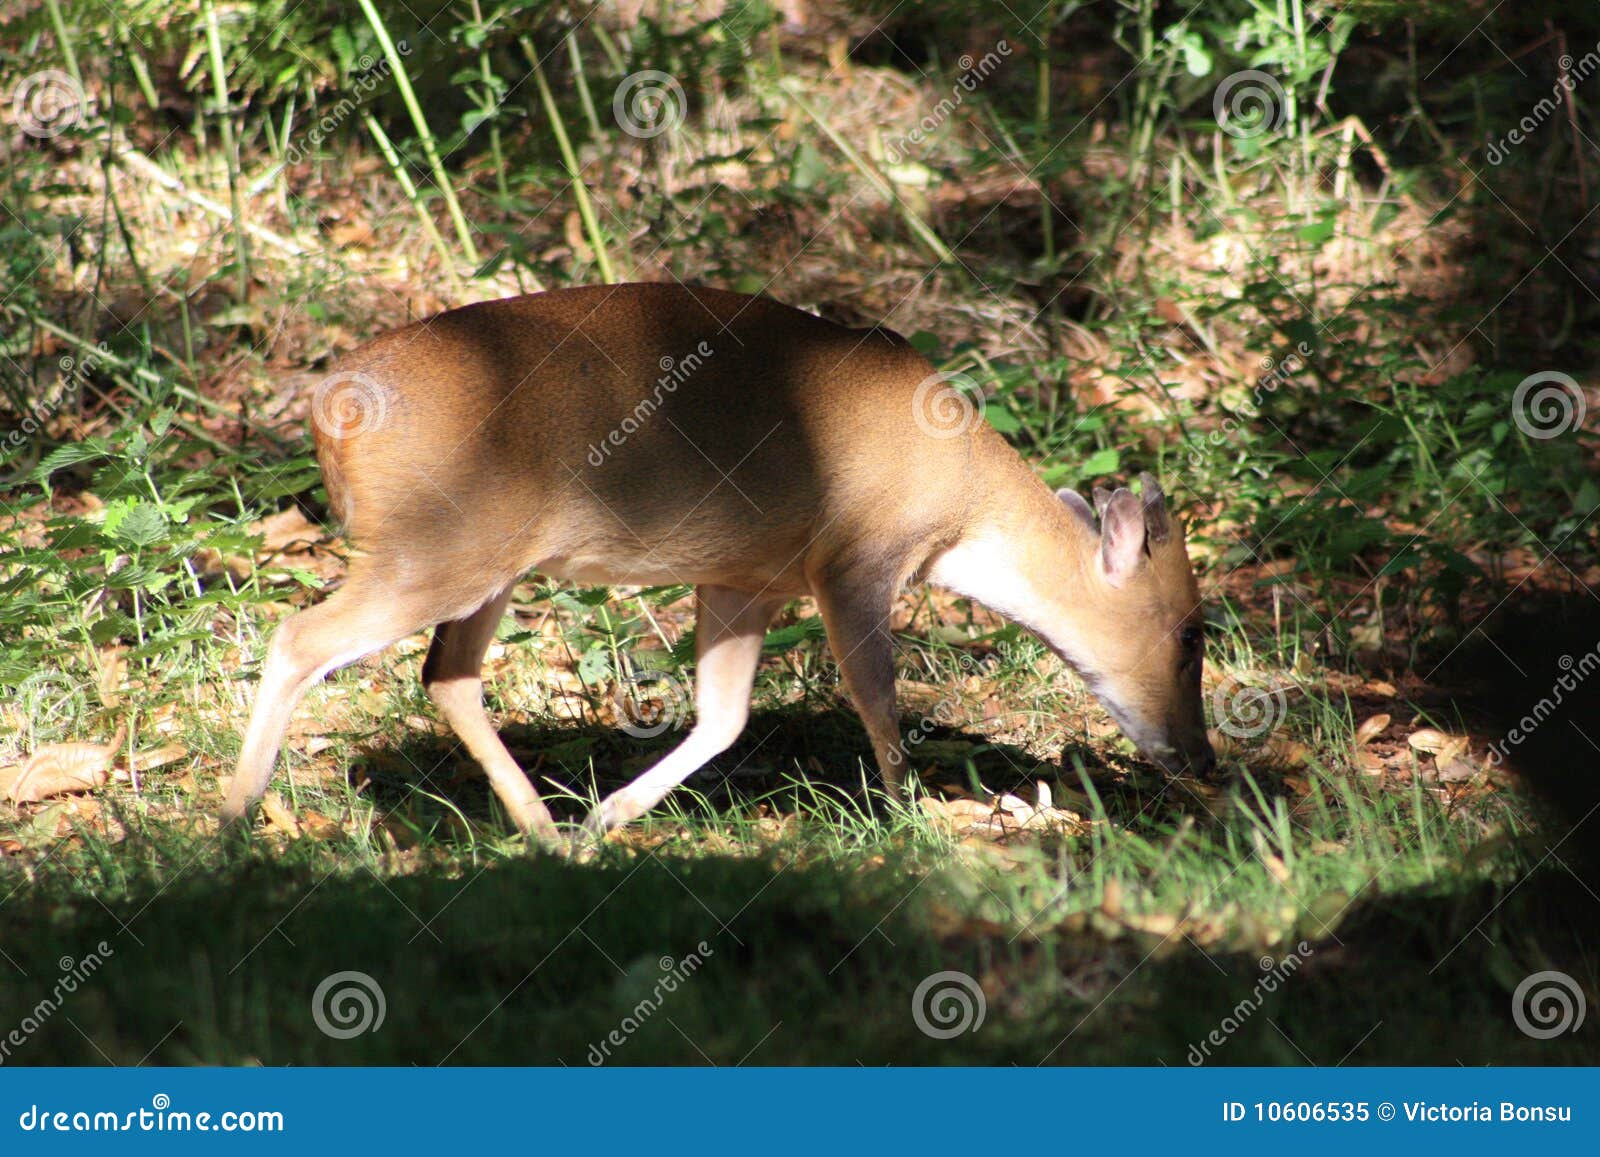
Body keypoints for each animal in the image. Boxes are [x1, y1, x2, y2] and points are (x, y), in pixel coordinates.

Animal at [222, 283, 1213, 847]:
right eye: (1190, 633)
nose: (1201, 757)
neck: (962, 511)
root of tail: (332, 409)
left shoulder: (747, 577)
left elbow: (725, 715)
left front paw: (611, 814)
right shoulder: (853, 557)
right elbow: (878, 700)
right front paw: (922, 819)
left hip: (484, 560)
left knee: (447, 673)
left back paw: (548, 831)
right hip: (437, 544)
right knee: (302, 637)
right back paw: (235, 823)